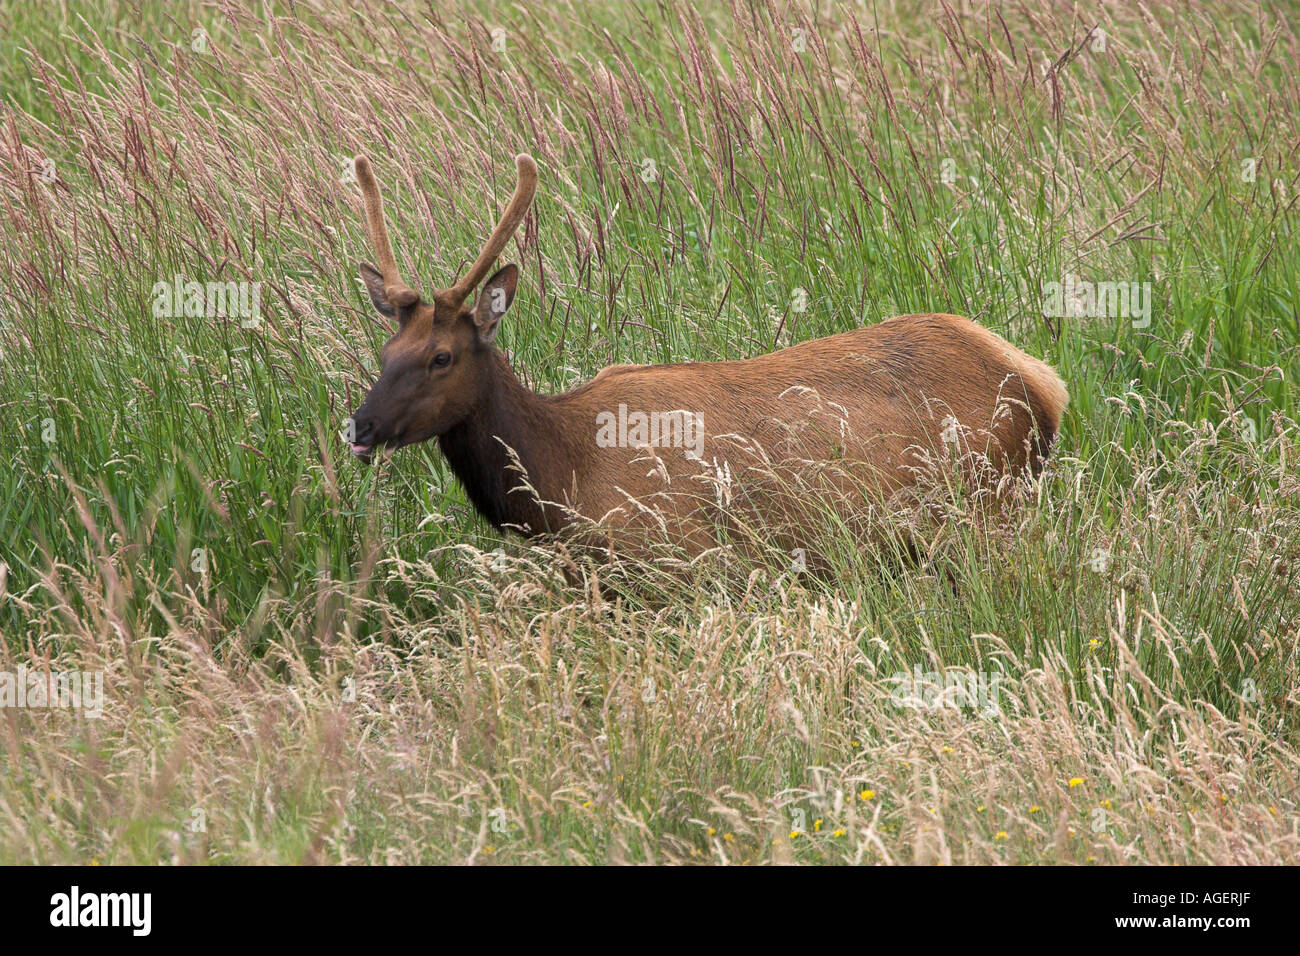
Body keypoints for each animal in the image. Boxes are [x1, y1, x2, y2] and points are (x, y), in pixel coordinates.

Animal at [342, 153, 1068, 568]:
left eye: (440, 356)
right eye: (386, 350)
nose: (360, 426)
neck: (560, 479)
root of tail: (1045, 384)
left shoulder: (683, 560)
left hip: (991, 507)